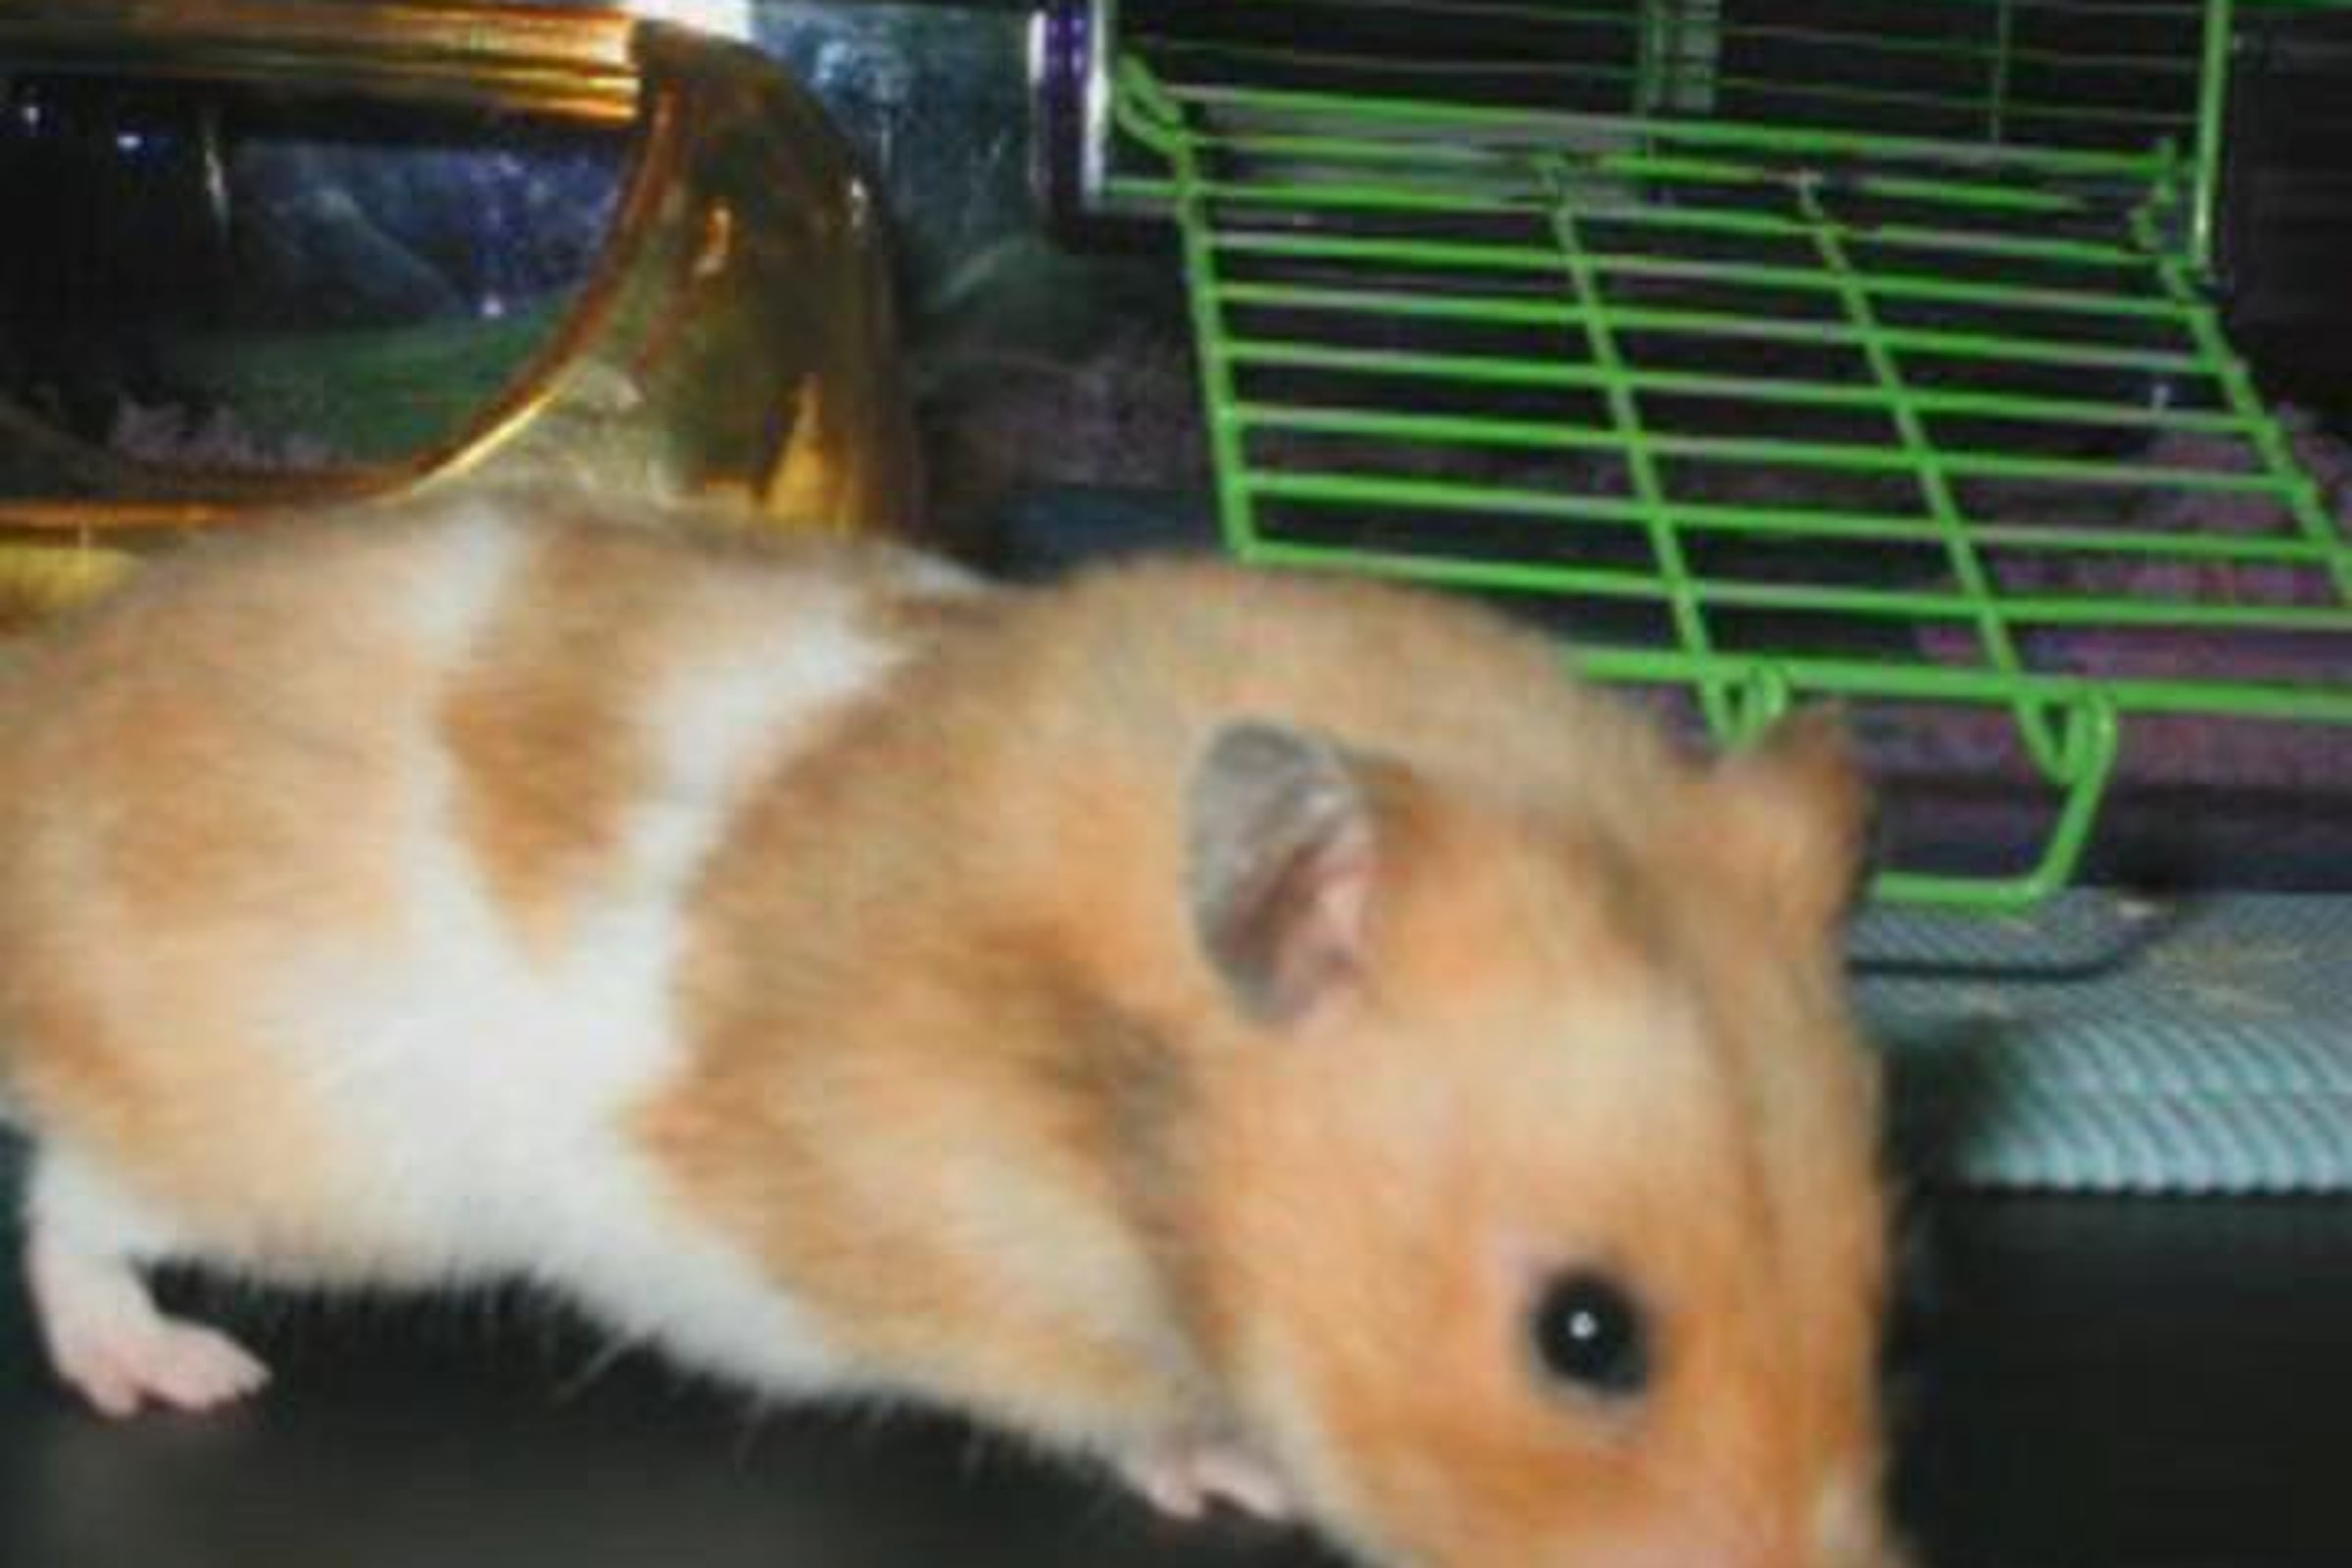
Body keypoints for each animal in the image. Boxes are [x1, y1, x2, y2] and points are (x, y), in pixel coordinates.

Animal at [0, 487, 1904, 1568]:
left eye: (1885, 1310)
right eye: (1586, 1336)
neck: (1116, 1117)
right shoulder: (976, 1287)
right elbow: (1123, 1413)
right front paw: (1240, 1475)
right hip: (303, 1167)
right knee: (71, 1213)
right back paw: (172, 1368)